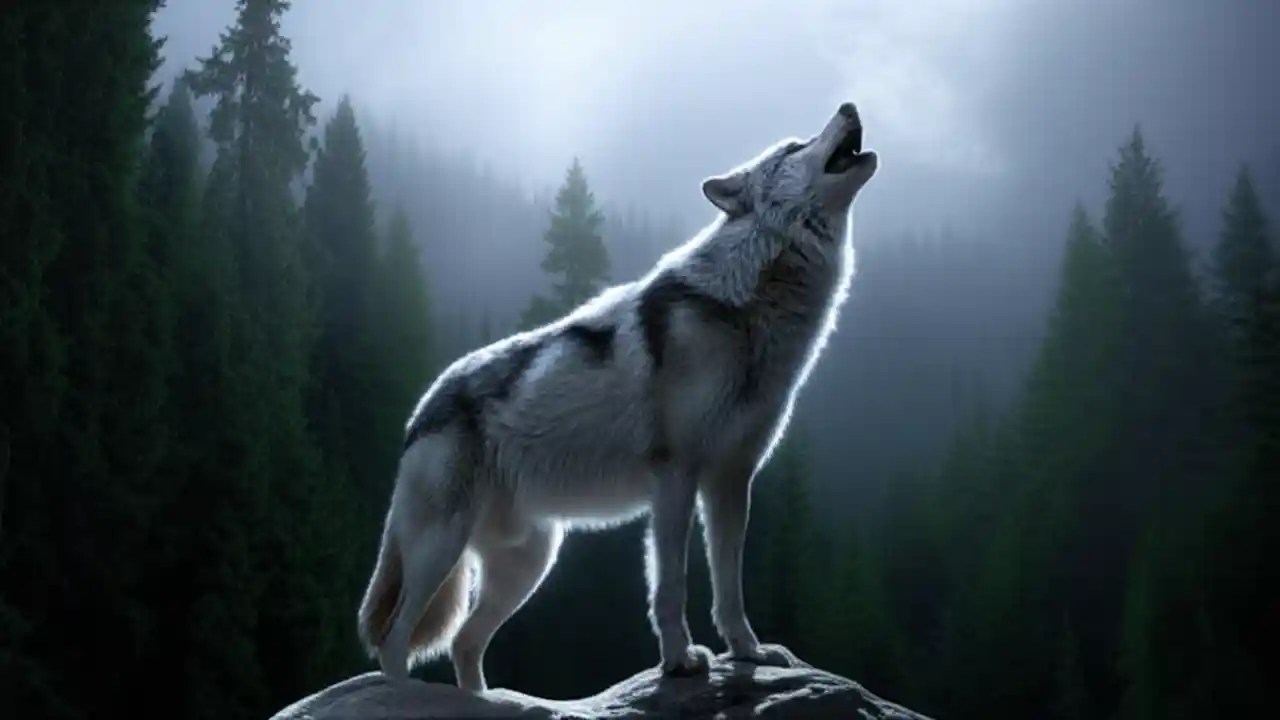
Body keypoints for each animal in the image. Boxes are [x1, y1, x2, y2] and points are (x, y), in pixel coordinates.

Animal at [356, 101, 878, 692]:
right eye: (795, 146)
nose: (849, 106)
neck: (749, 307)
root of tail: (421, 410)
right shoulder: (677, 477)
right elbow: (671, 586)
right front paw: (680, 661)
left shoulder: (731, 480)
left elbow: (730, 588)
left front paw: (749, 652)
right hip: (440, 550)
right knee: (394, 638)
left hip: (529, 564)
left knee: (463, 643)